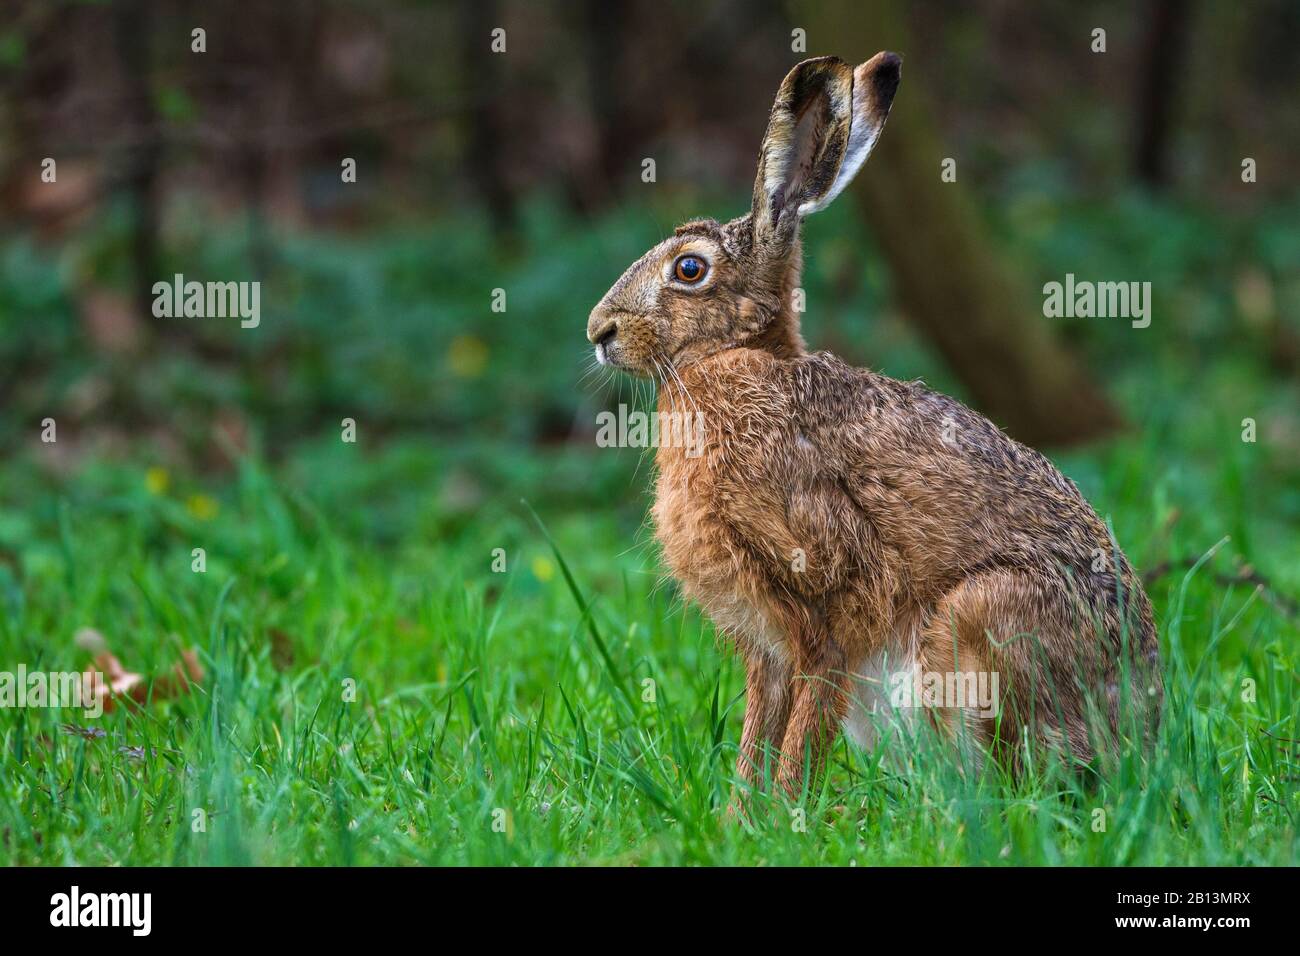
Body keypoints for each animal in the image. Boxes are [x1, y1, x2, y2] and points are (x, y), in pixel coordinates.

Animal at [585, 52, 1162, 798]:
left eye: (689, 269)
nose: (599, 331)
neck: (733, 358)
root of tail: (1140, 737)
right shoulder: (766, 645)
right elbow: (759, 729)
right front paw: (742, 813)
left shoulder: (834, 589)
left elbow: (809, 715)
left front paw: (785, 809)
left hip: (980, 620)